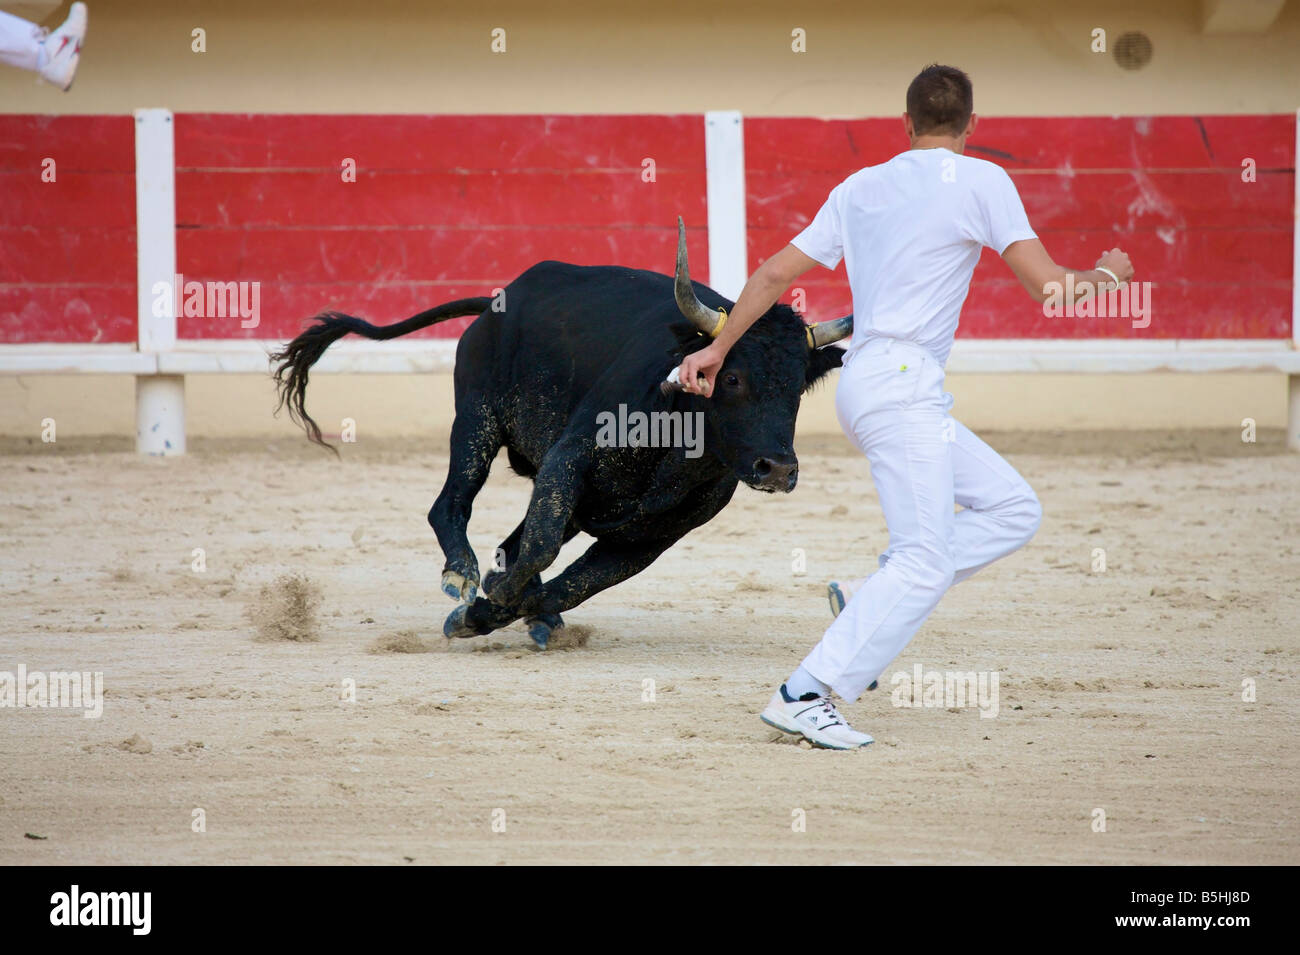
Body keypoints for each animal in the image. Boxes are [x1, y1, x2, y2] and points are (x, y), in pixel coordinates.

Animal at [271, 219, 852, 648]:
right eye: (731, 377)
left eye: (798, 388)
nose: (778, 469)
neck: (675, 450)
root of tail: (499, 300)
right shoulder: (568, 460)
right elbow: (542, 548)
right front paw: (488, 599)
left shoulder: (652, 537)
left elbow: (571, 585)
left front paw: (495, 612)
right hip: (477, 420)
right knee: (451, 504)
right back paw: (461, 574)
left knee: (511, 542)